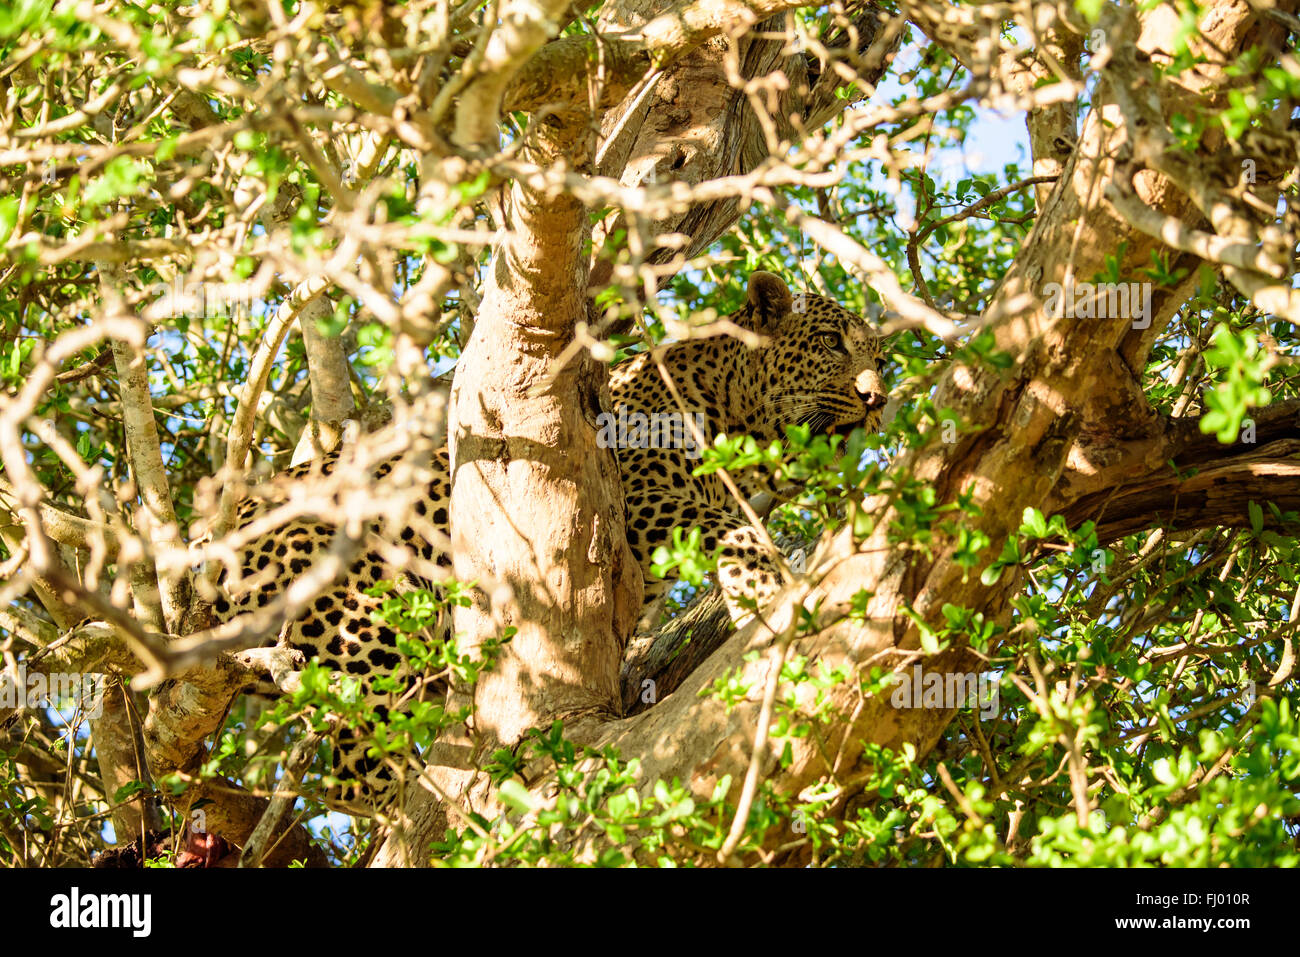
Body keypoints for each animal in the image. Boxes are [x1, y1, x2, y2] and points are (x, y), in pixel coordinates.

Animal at [209, 271, 887, 812]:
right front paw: (770, 585)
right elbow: (733, 527)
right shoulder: (635, 494)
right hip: (367, 611)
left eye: (881, 357)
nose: (877, 398)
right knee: (358, 774)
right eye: (831, 343)